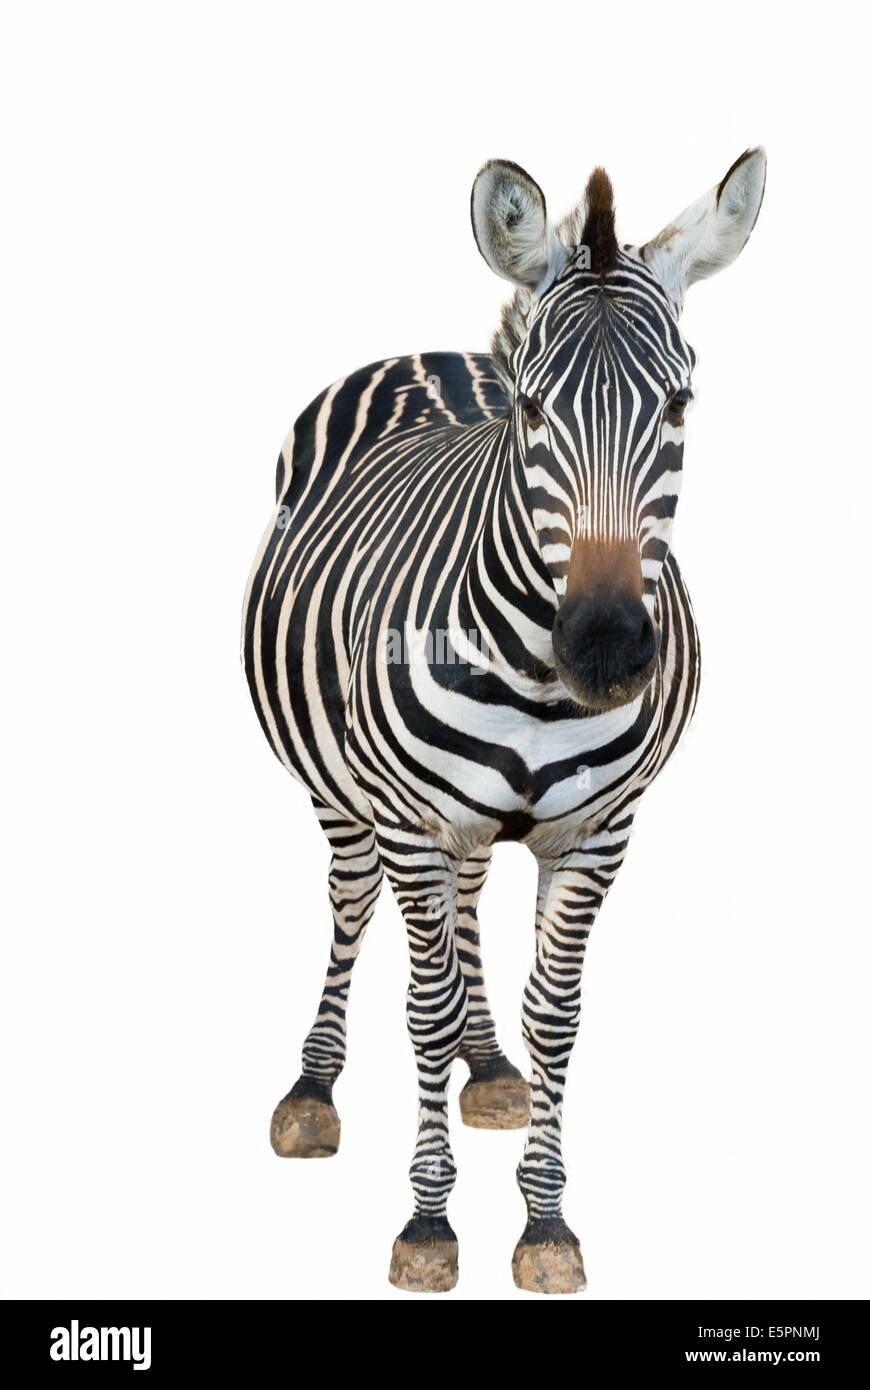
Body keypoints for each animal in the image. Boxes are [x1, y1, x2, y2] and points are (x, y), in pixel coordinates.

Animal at [242, 148, 766, 1294]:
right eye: (532, 411)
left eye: (680, 402)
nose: (606, 646)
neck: (536, 678)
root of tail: (428, 355)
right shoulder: (410, 822)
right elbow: (424, 1008)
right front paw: (430, 1223)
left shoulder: (596, 834)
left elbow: (554, 1014)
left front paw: (547, 1222)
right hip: (344, 790)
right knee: (351, 905)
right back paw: (313, 1090)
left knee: (474, 901)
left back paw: (487, 1068)